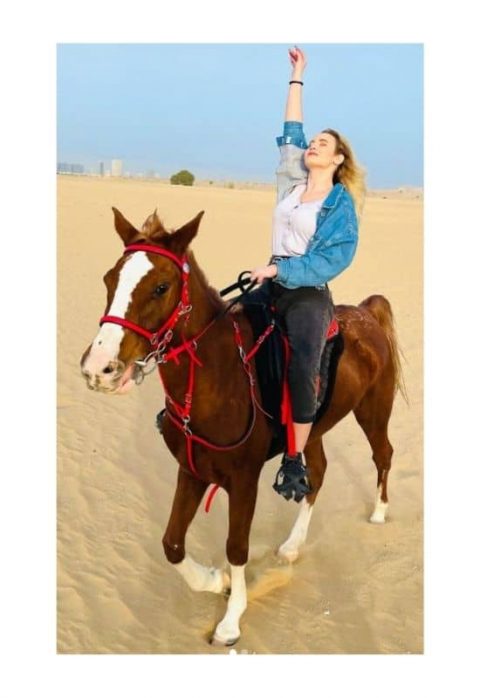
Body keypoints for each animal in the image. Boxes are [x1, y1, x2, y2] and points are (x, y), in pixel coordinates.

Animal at [80, 206, 407, 646]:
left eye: (161, 287)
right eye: (109, 279)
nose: (98, 368)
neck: (220, 378)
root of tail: (367, 312)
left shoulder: (244, 478)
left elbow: (236, 547)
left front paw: (231, 619)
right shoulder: (192, 470)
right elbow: (172, 544)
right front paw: (214, 581)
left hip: (374, 409)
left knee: (382, 454)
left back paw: (378, 512)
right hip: (314, 428)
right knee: (317, 474)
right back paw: (291, 546)